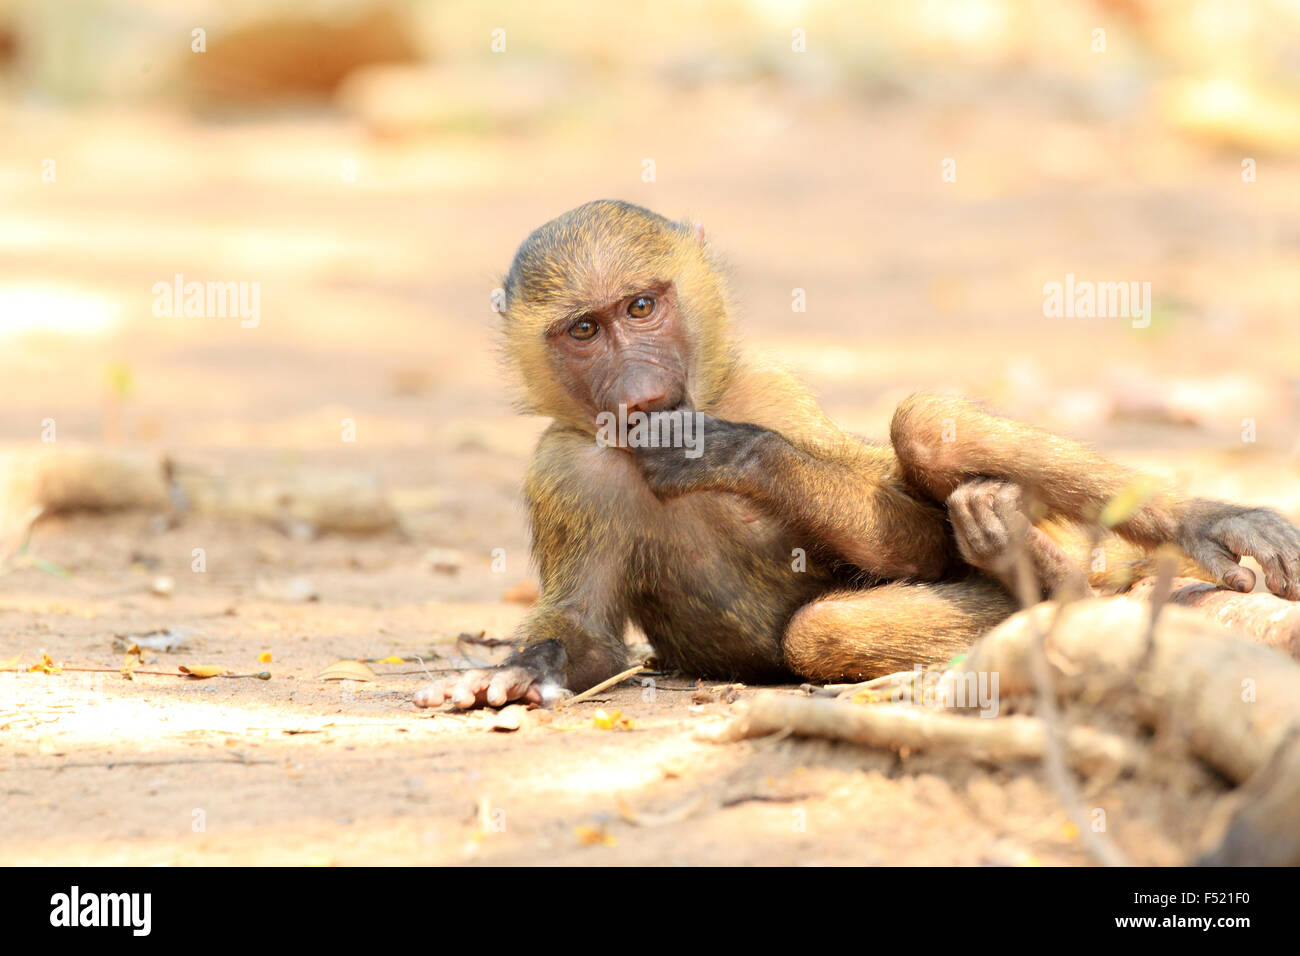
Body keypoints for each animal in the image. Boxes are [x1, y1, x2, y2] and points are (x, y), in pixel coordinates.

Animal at [413, 199, 1300, 710]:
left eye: (640, 307)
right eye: (584, 330)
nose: (638, 395)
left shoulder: (767, 392)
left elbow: (914, 532)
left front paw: (731, 454)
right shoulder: (562, 468)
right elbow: (590, 639)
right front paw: (522, 669)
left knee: (922, 430)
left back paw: (1156, 540)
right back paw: (1044, 576)